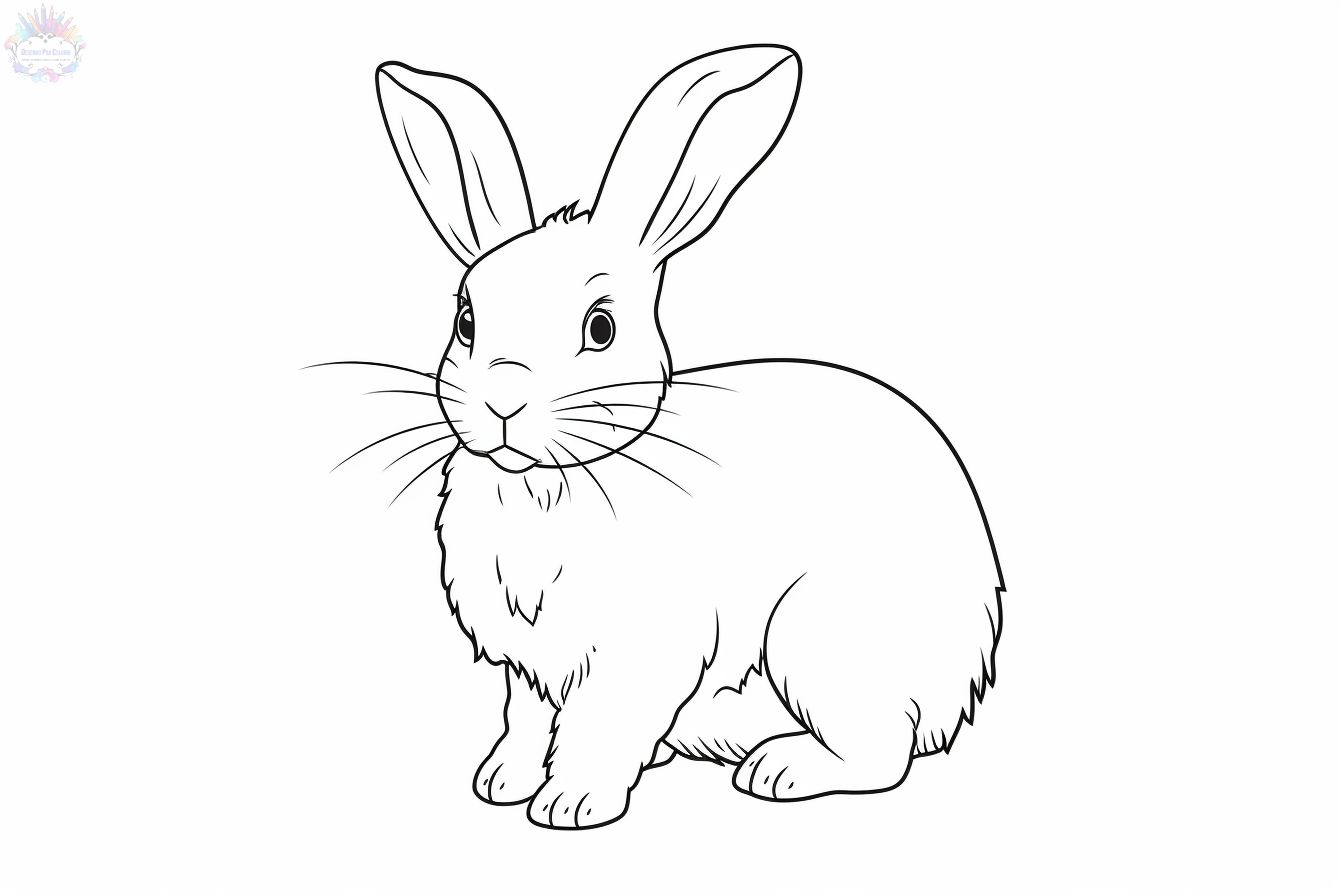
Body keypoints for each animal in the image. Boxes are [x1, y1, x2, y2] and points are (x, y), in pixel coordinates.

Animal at [370, 44, 1004, 829]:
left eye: (601, 327)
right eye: (465, 321)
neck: (545, 482)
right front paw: (502, 782)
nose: (502, 397)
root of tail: (965, 673)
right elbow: (526, 720)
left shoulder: (633, 654)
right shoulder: (527, 664)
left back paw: (778, 769)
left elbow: (598, 728)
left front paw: (570, 805)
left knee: (878, 755)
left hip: (818, 642)